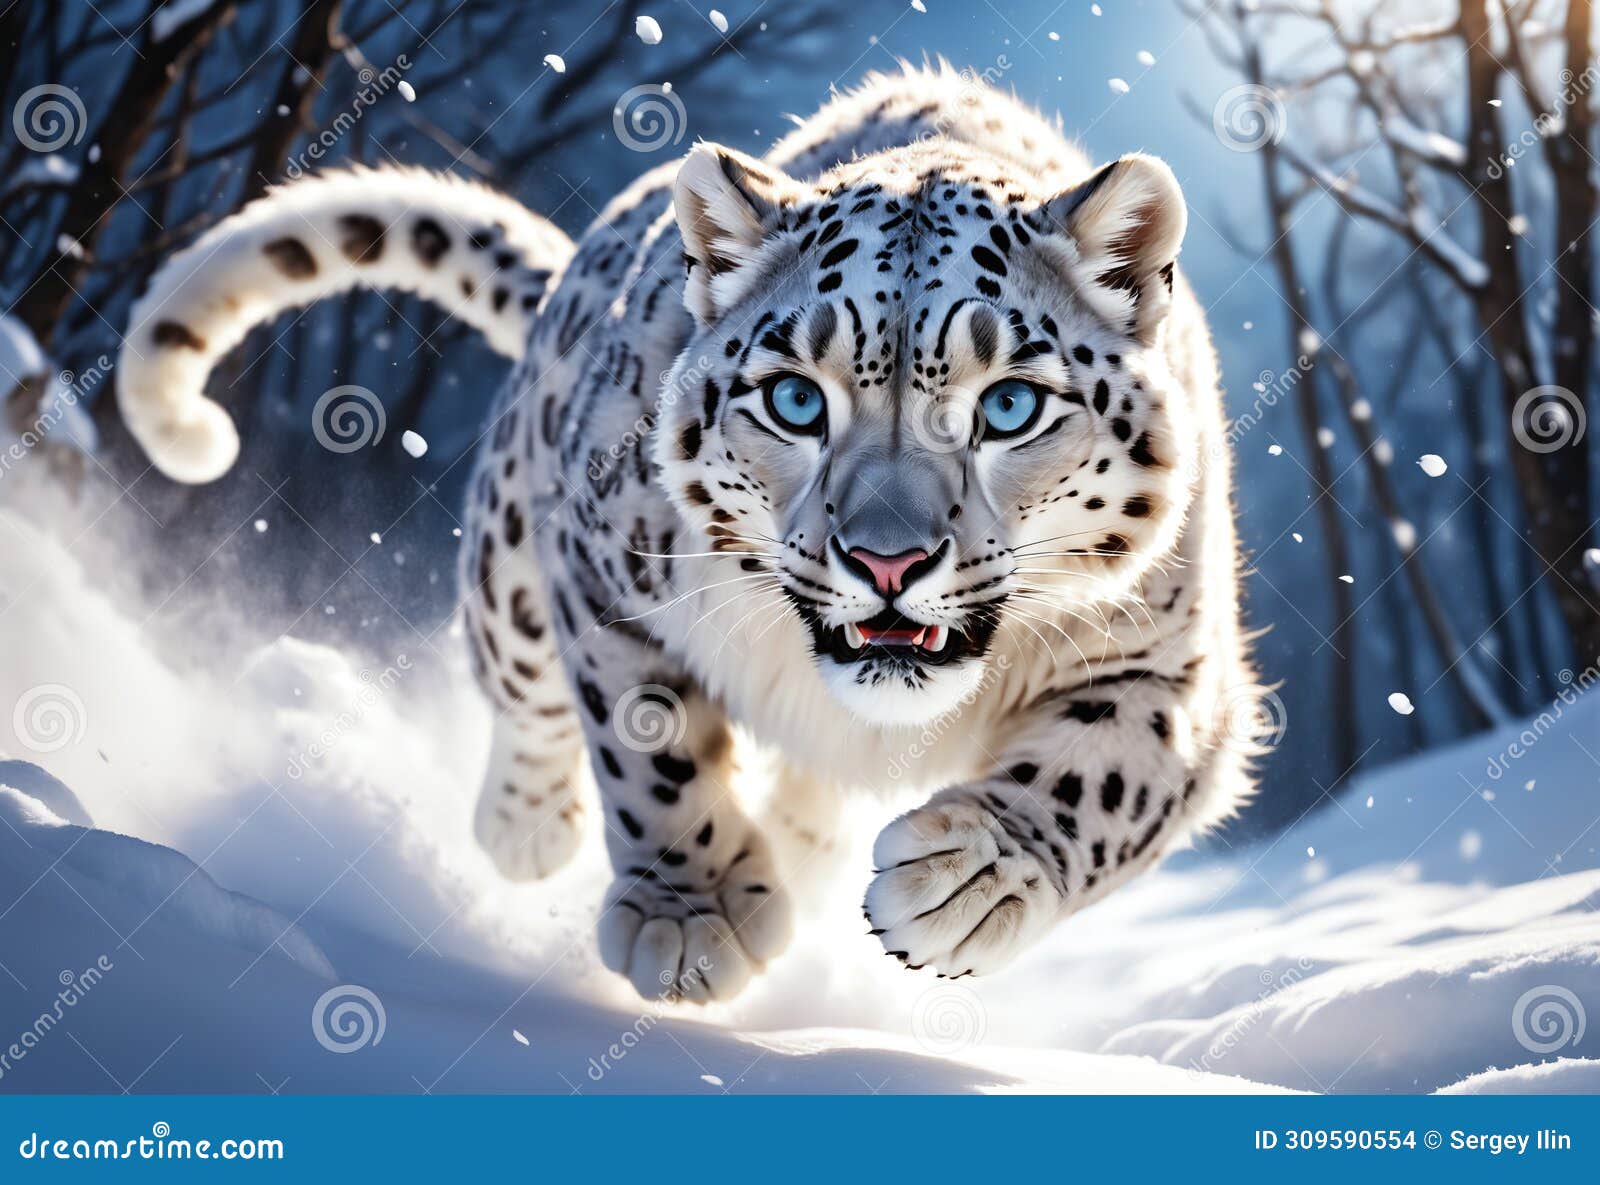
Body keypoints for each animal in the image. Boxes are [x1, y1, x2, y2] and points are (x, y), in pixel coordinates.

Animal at [115, 63, 1260, 1003]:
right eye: (796, 400)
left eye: (1010, 405)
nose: (887, 559)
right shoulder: (603, 575)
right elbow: (648, 740)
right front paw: (691, 918)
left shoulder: (1179, 664)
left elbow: (1107, 774)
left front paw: (965, 882)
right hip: (513, 555)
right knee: (519, 677)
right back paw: (525, 829)